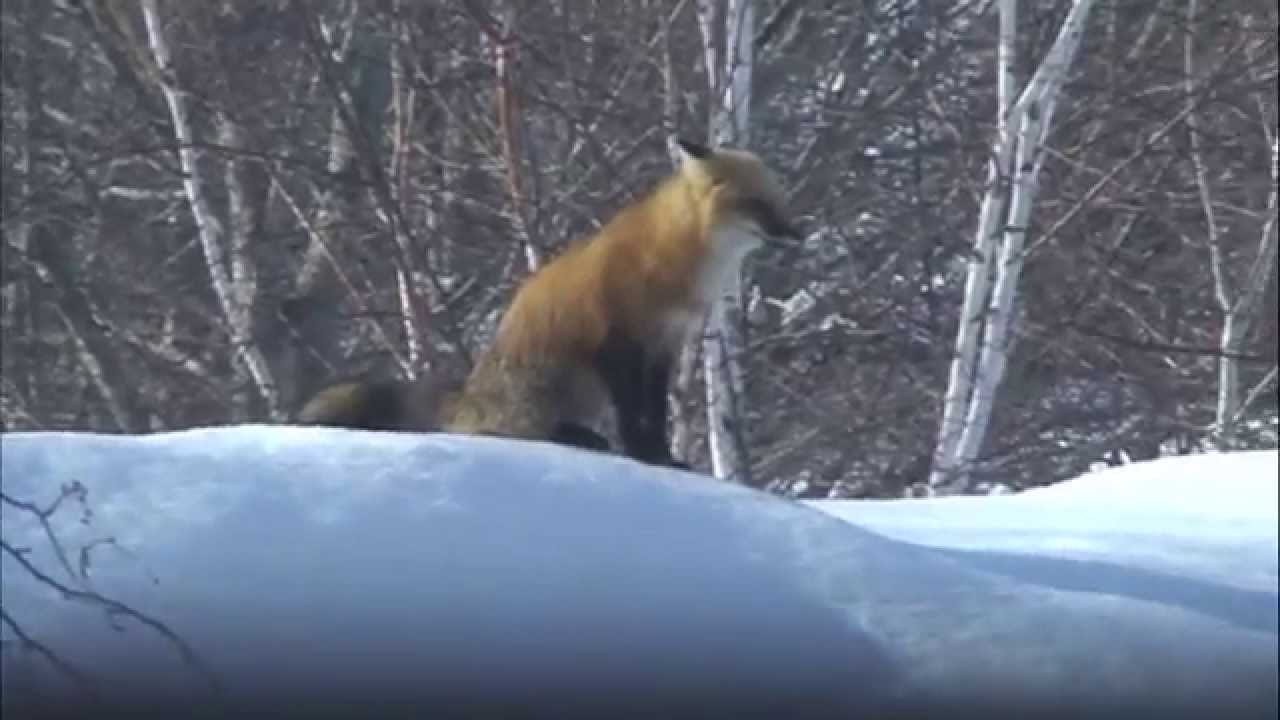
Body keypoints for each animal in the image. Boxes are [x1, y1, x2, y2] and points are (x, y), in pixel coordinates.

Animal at [444, 138, 801, 468]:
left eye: (778, 200)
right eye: (756, 203)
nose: (798, 234)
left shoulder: (664, 344)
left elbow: (655, 412)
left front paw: (663, 457)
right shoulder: (613, 343)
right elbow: (629, 414)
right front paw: (641, 455)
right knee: (524, 432)